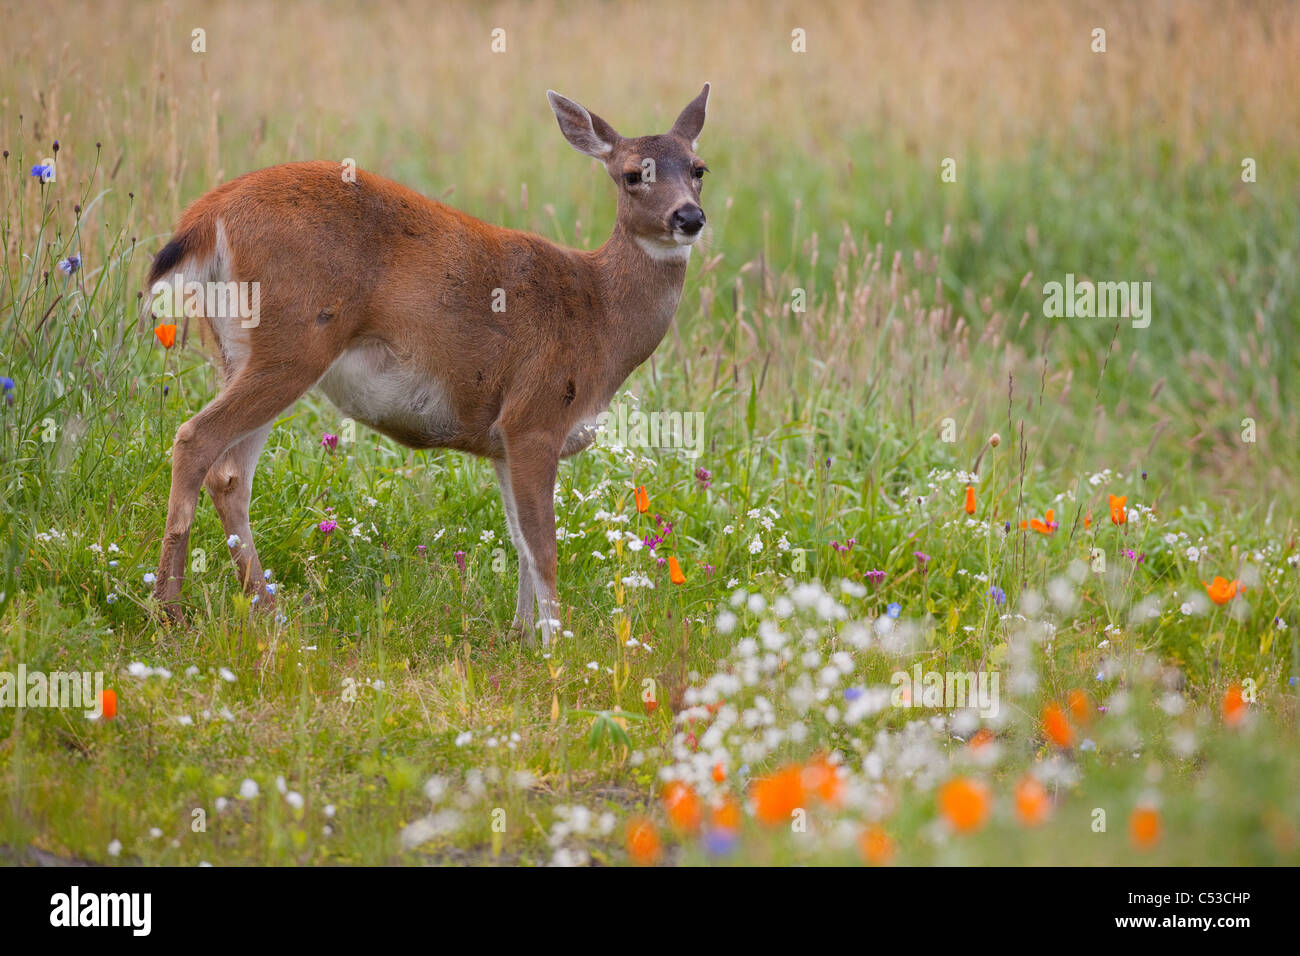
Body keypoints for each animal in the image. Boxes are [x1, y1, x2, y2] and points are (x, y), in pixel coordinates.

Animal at [145, 85, 711, 647]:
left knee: (230, 474)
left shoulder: (502, 440)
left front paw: (523, 635)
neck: (599, 319)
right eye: (632, 174)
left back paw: (267, 610)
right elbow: (544, 547)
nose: (689, 217)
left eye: (699, 168)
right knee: (196, 439)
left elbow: (520, 542)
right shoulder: (535, 415)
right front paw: (556, 646)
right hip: (292, 343)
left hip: (239, 350)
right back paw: (171, 611)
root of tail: (208, 214)